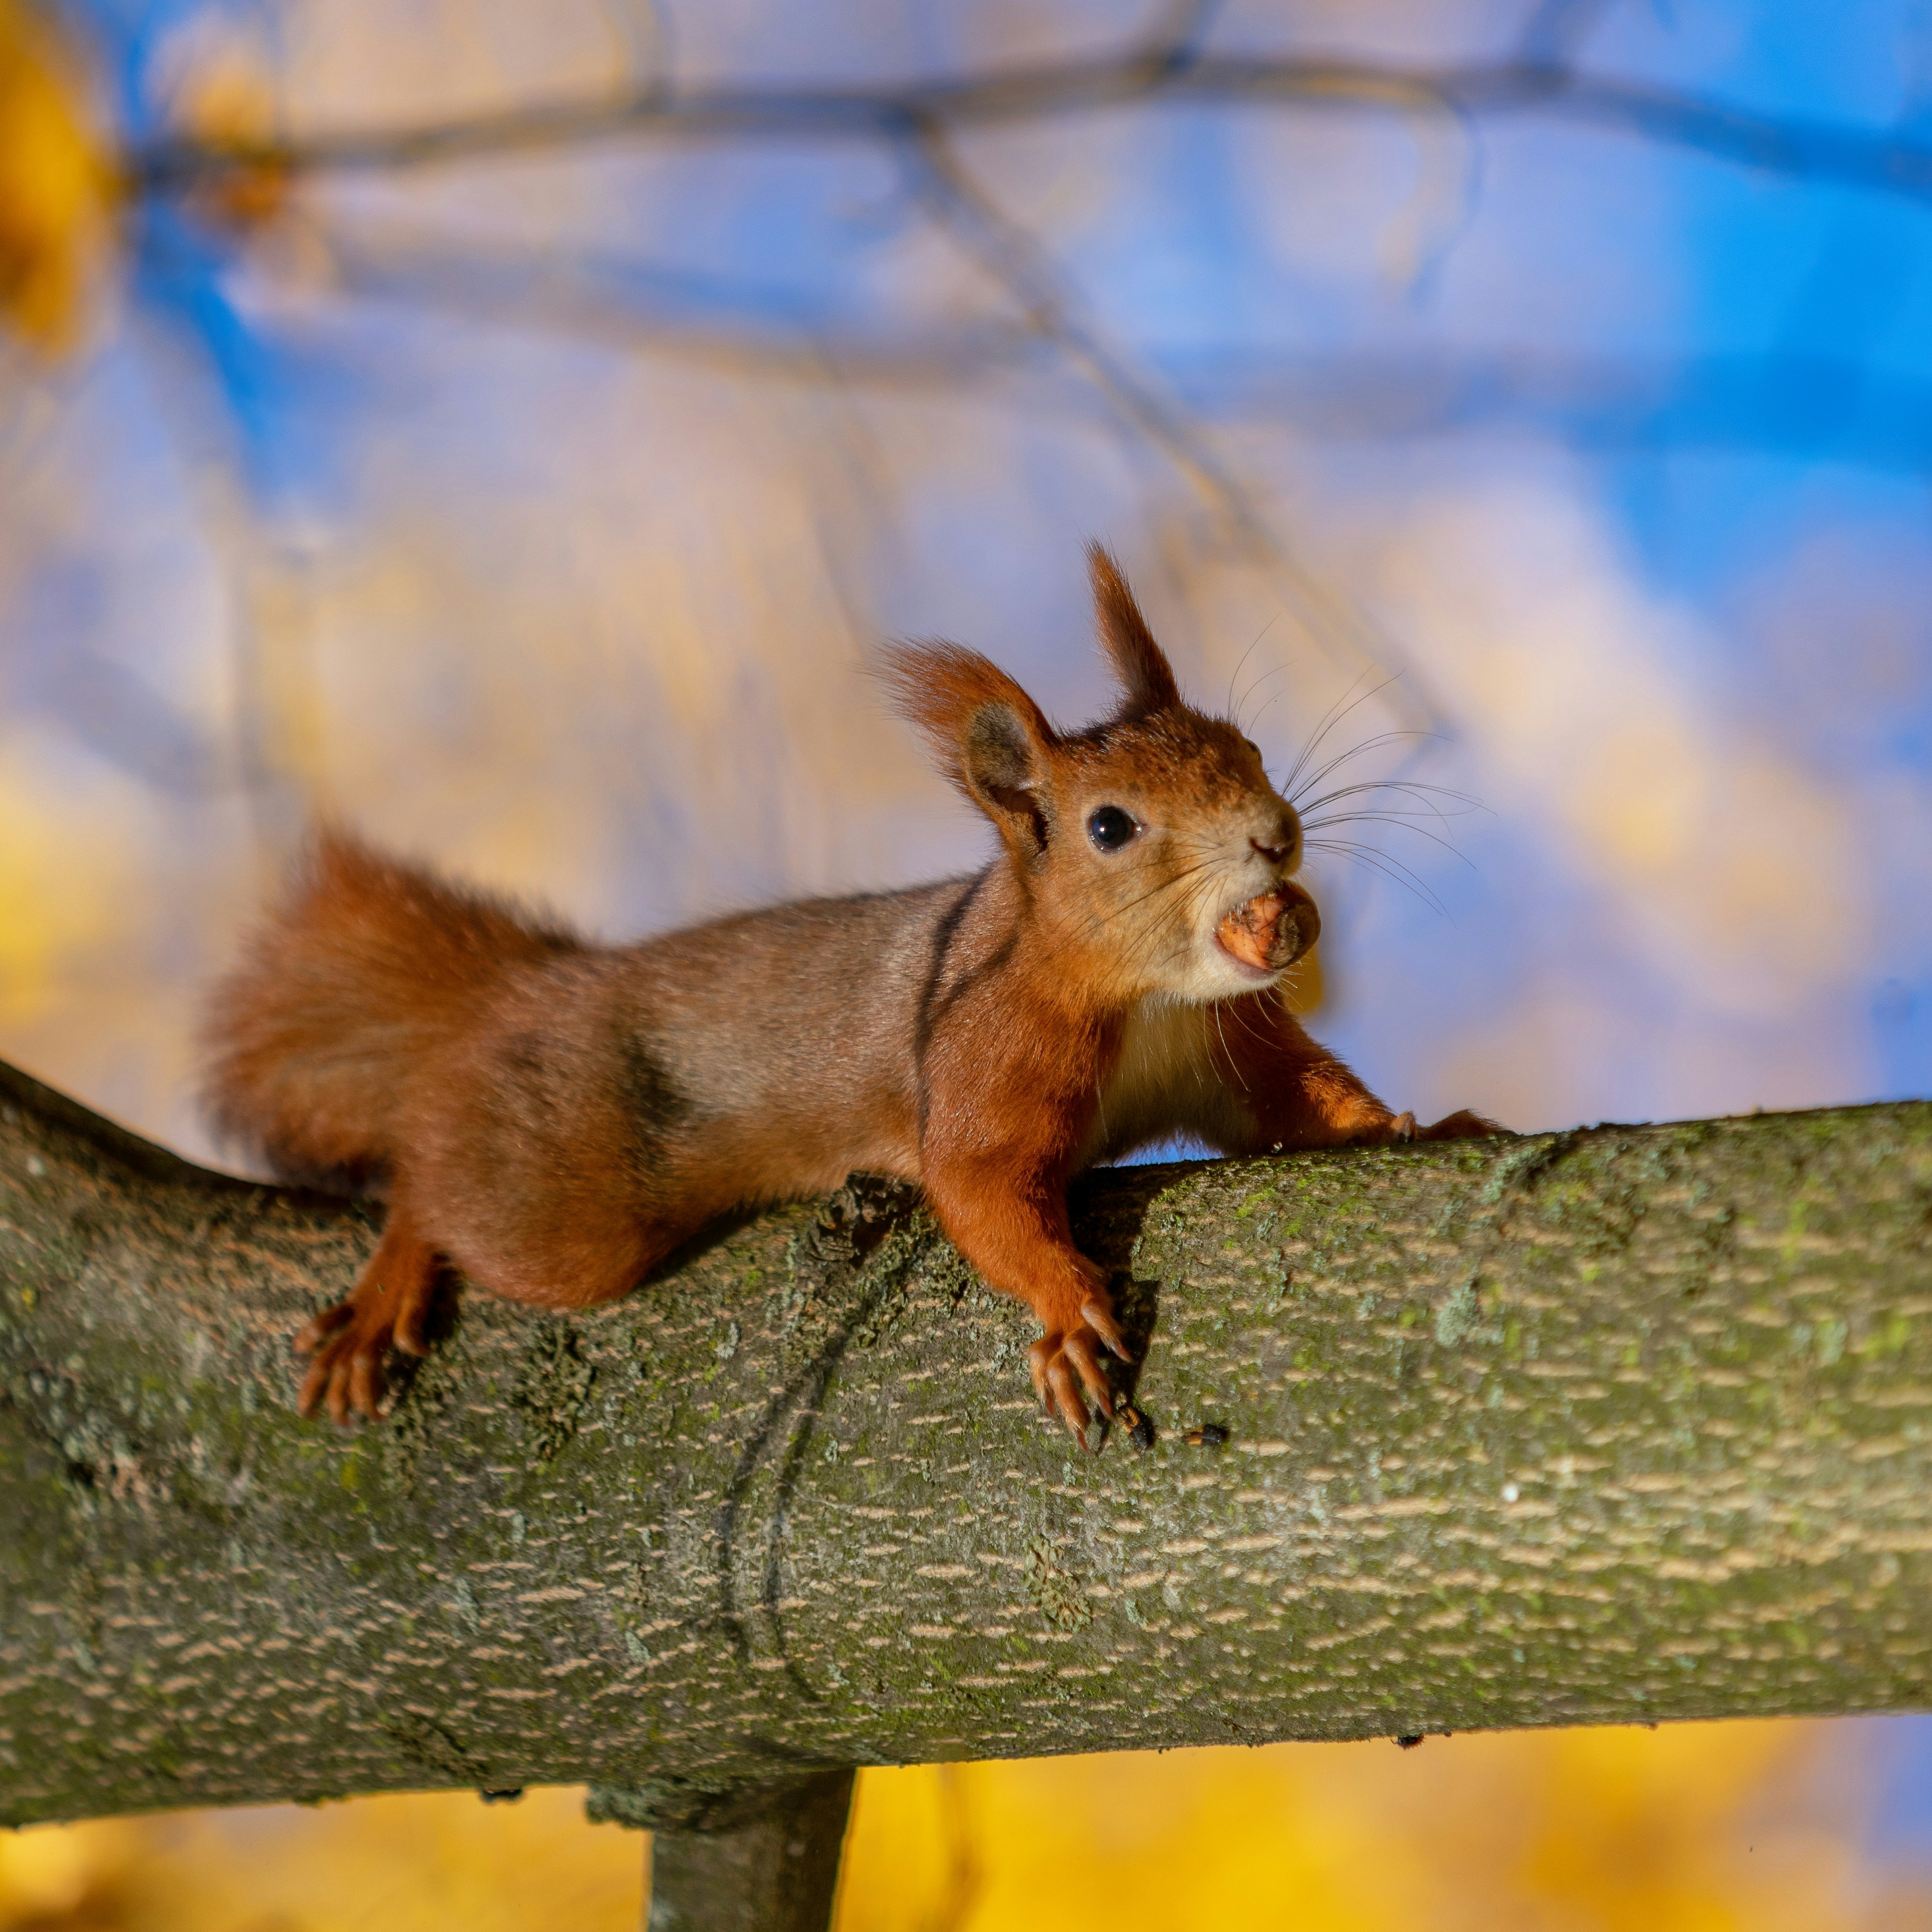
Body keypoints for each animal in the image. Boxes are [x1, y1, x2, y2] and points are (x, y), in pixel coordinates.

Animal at [201, 546, 1496, 1444]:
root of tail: (528, 989)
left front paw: (1415, 1122)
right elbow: (981, 1188)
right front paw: (1066, 1309)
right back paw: (385, 1289)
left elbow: (1299, 1101)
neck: (1147, 994)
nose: (1273, 838)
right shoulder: (983, 1055)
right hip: (569, 1211)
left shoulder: (1228, 1042)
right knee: (438, 1182)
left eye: (1248, 749)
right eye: (1109, 828)